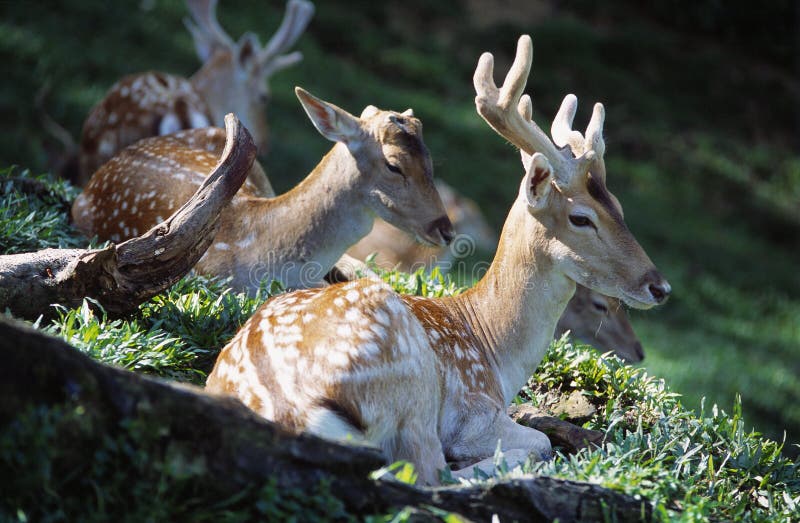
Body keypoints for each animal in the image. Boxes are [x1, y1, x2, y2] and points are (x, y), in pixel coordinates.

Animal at [204, 35, 670, 485]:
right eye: (581, 217)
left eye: (620, 209)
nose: (659, 286)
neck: (494, 351)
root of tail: (291, 411)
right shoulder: (472, 412)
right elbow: (537, 441)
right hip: (411, 379)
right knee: (426, 472)